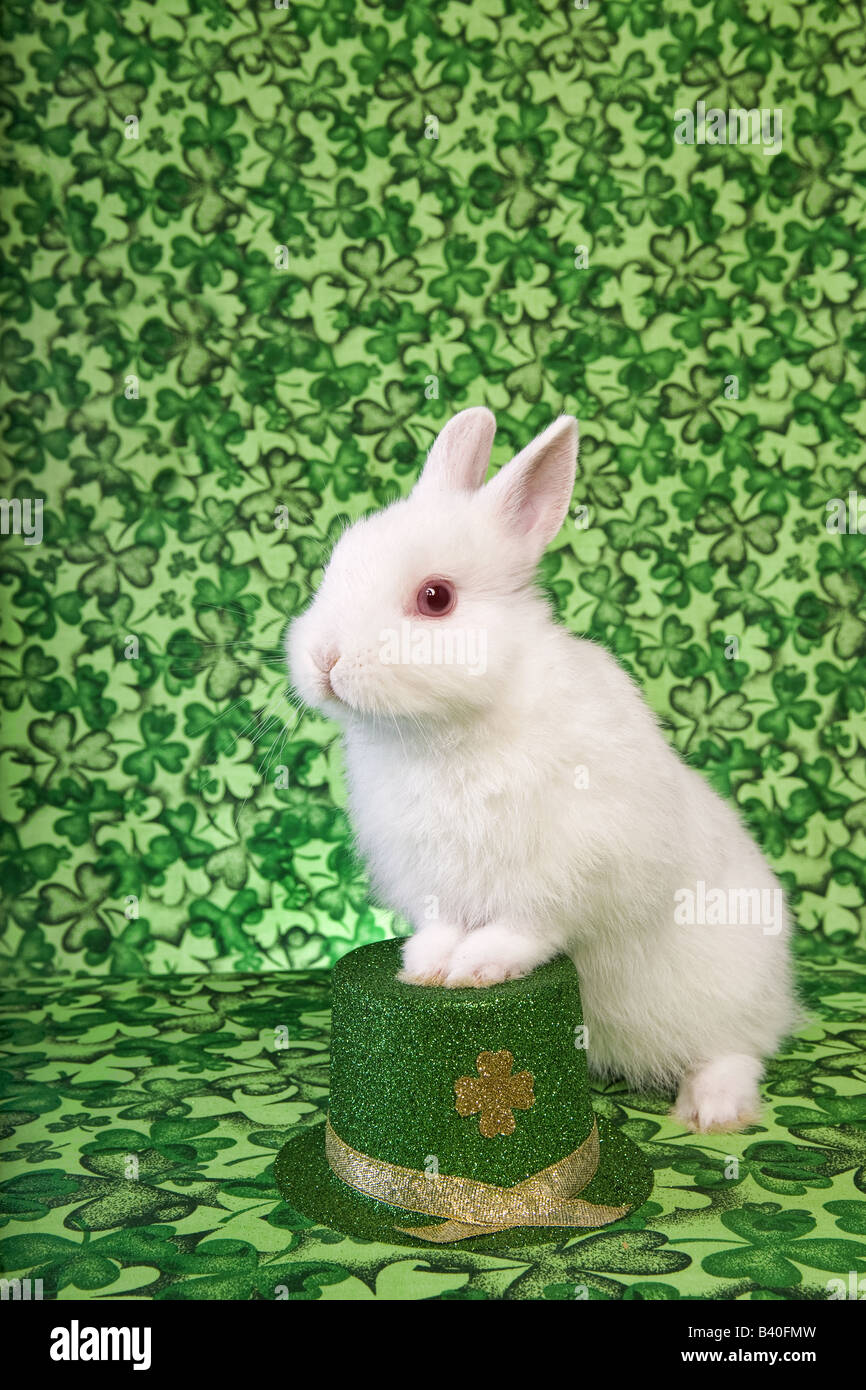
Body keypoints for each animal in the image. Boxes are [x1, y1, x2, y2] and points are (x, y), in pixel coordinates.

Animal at [287, 407, 801, 1133]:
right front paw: (426, 966)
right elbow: (443, 923)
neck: (451, 726)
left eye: (435, 598)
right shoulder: (435, 874)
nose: (324, 660)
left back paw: (711, 1109)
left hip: (729, 998)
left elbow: (526, 926)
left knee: (737, 1051)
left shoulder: (566, 867)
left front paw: (478, 968)